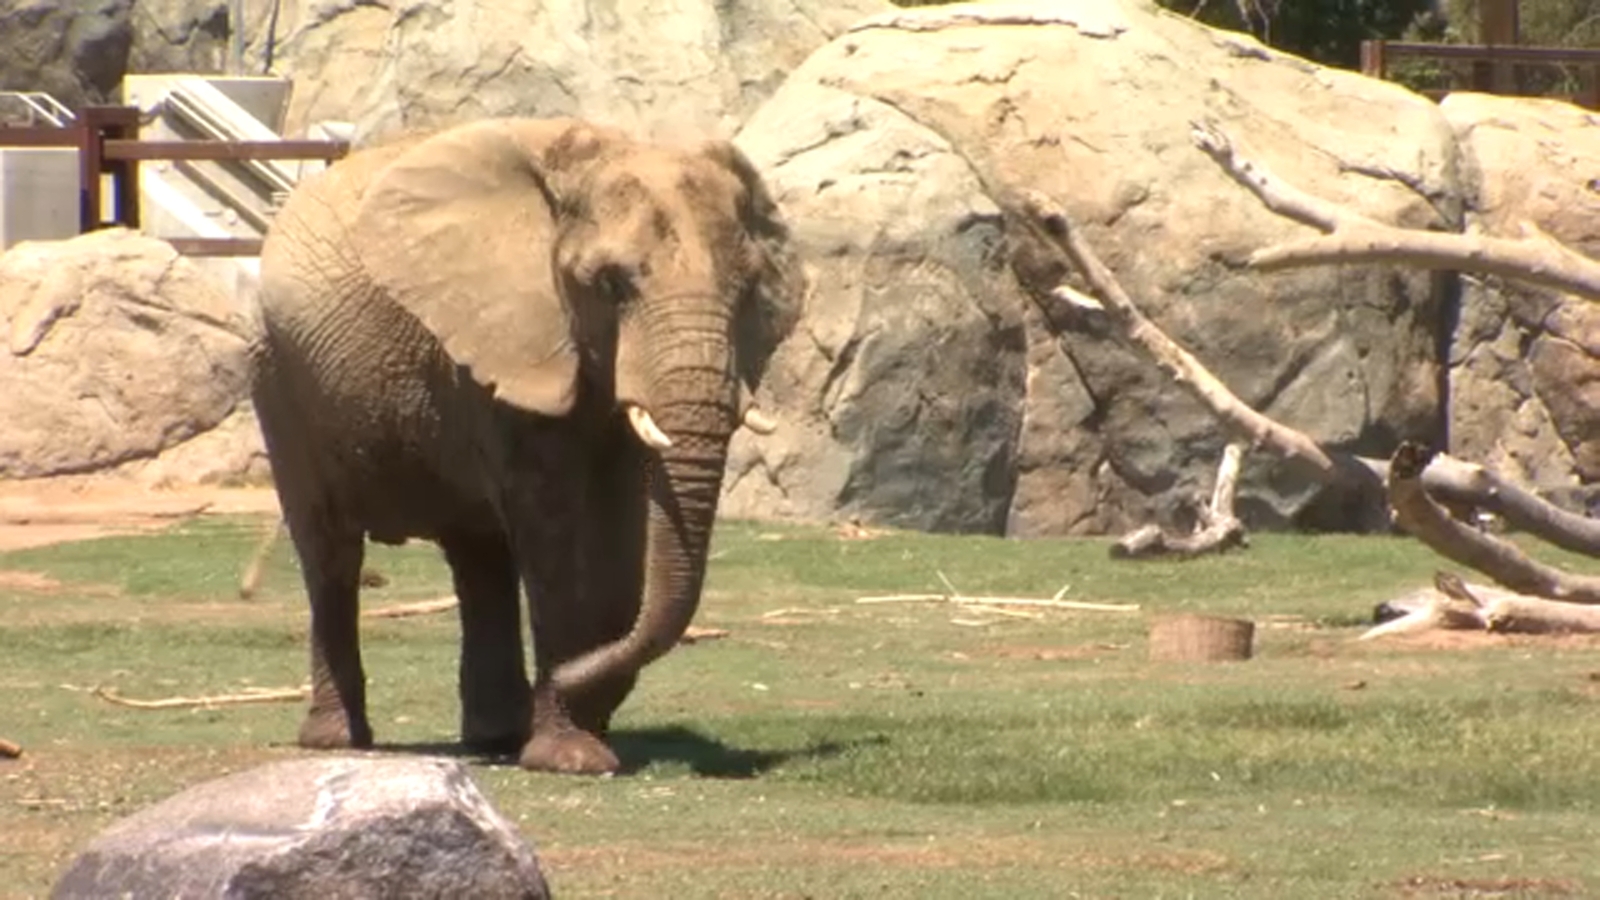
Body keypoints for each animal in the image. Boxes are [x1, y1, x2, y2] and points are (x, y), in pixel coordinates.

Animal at [251, 116, 802, 775]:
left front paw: (585, 718)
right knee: (330, 552)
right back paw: (338, 741)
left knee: (478, 556)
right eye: (610, 284)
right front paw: (574, 756)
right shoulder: (509, 339)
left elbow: (619, 535)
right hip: (277, 376)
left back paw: (494, 736)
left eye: (747, 289)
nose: (574, 676)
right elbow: (552, 529)